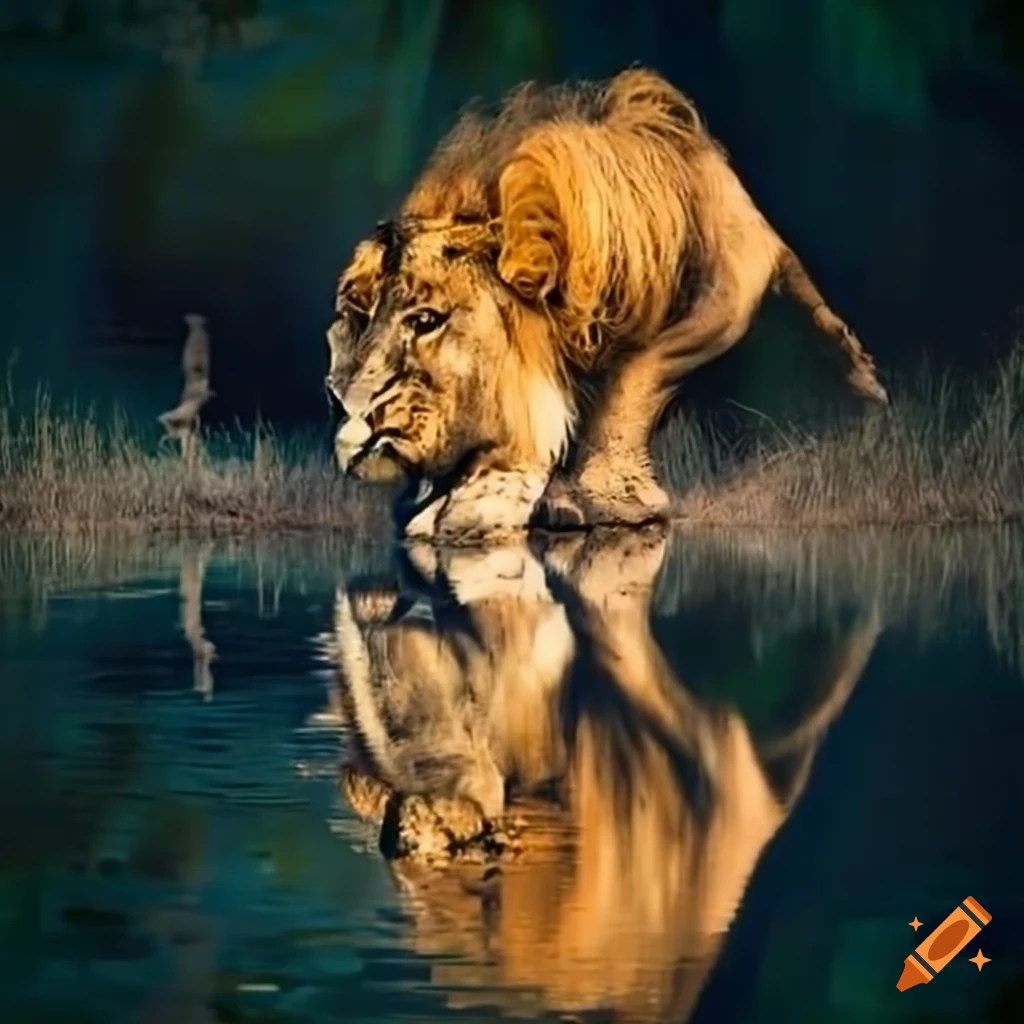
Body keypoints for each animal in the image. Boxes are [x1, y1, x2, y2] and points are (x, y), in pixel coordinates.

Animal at [326, 67, 888, 543]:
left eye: (425, 321)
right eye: (352, 321)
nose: (344, 405)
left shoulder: (713, 309)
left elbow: (630, 387)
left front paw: (606, 499)